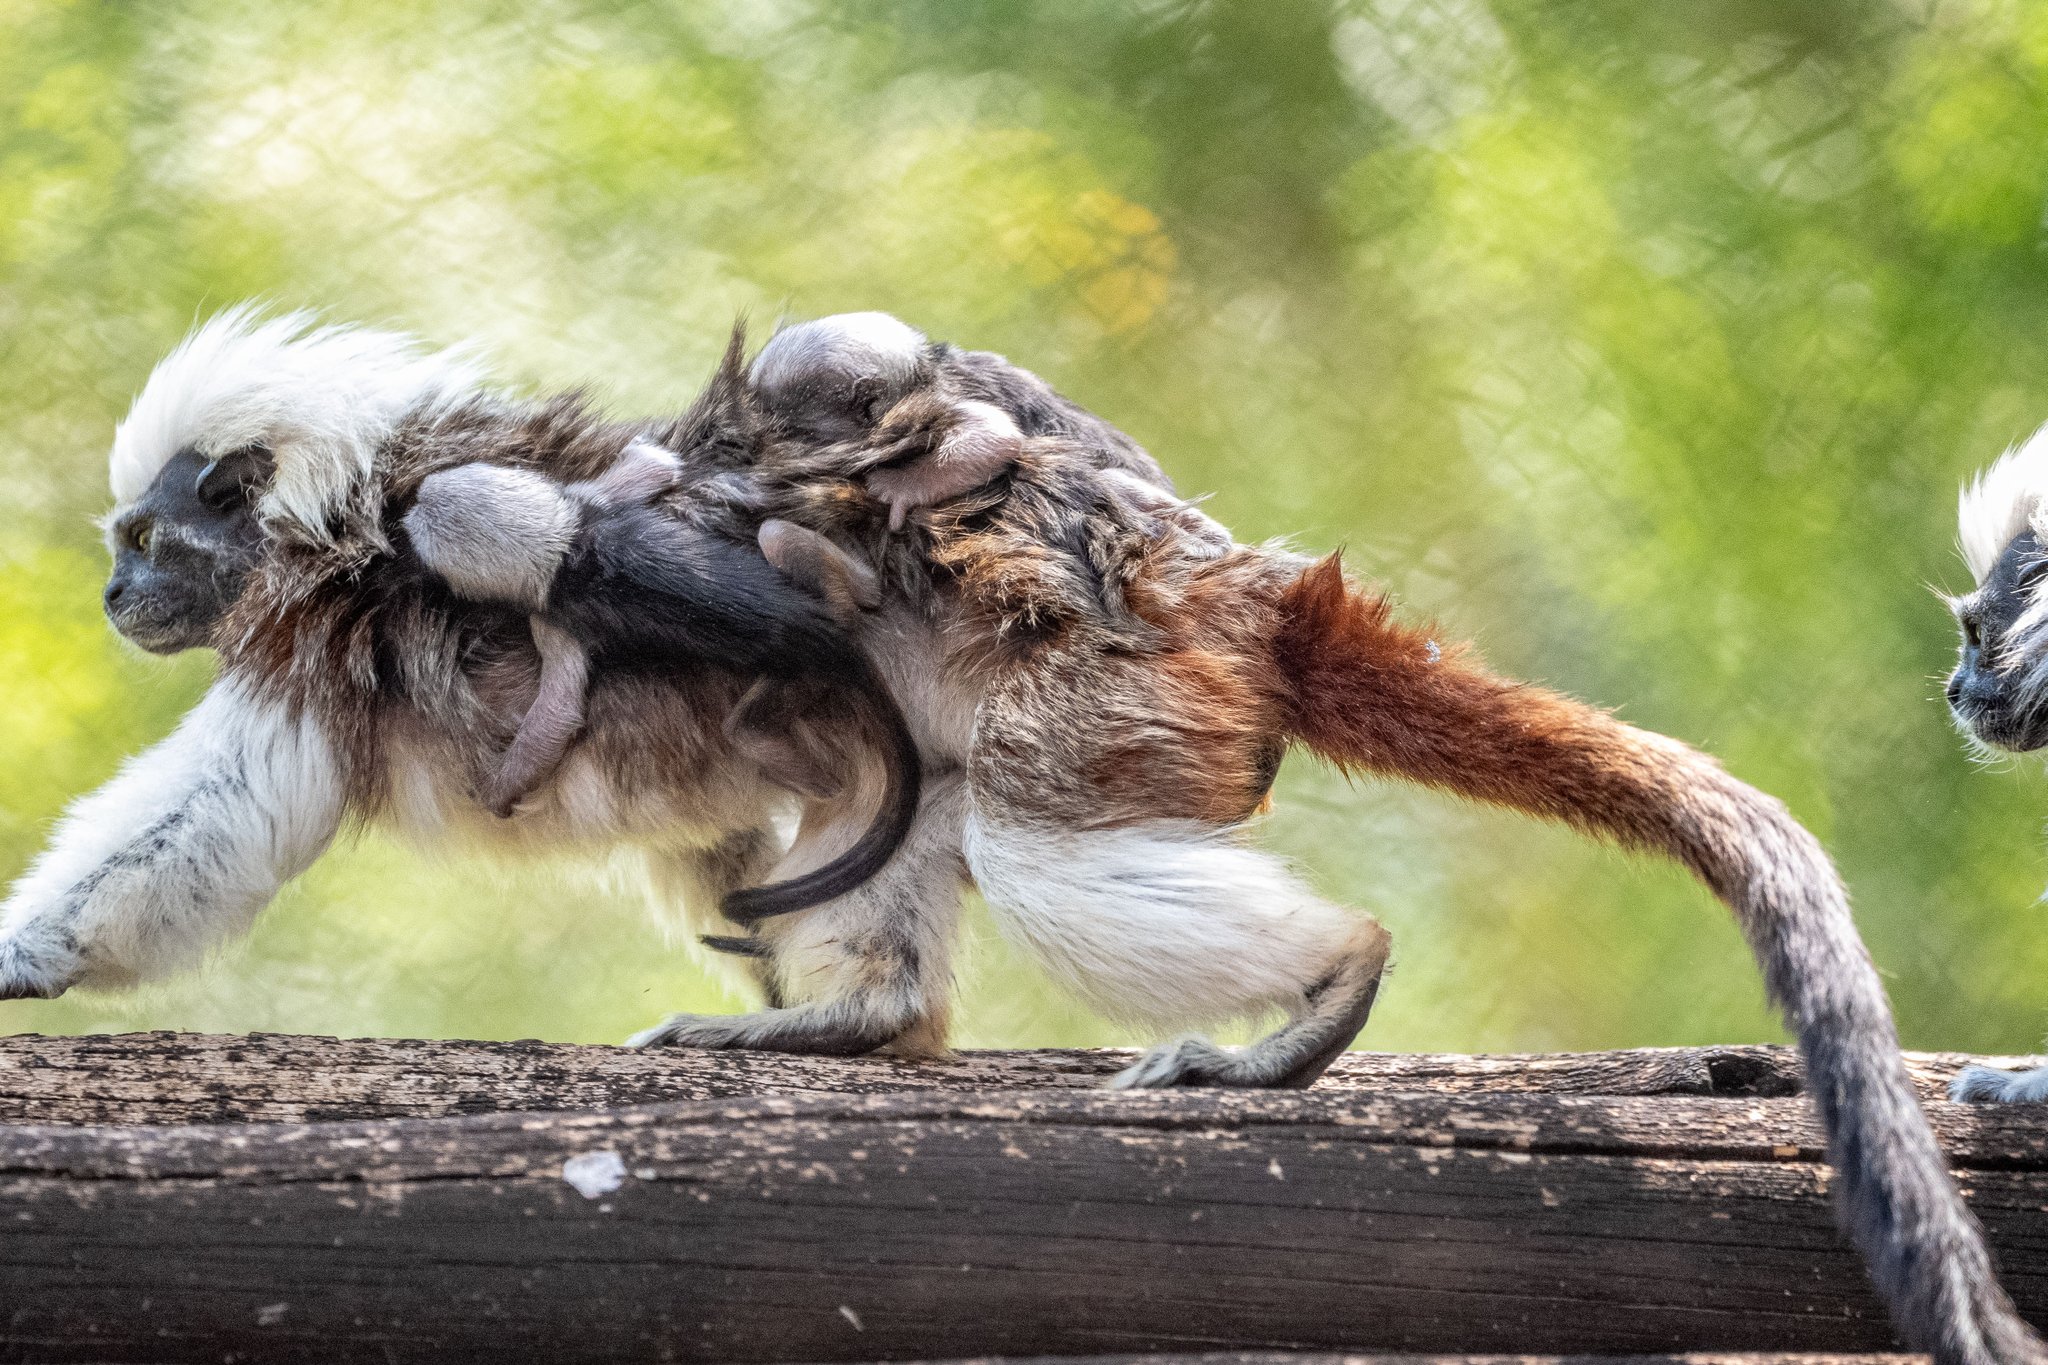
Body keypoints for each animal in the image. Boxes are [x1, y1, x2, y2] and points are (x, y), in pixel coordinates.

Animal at [398, 438, 920, 924]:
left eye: (419, 534)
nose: (414, 497)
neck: (564, 549)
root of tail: (833, 636)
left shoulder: (550, 614)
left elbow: (558, 713)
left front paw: (496, 791)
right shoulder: (590, 506)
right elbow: (657, 466)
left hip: (800, 674)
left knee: (747, 731)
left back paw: (826, 787)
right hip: (825, 592)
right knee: (779, 538)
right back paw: (869, 585)